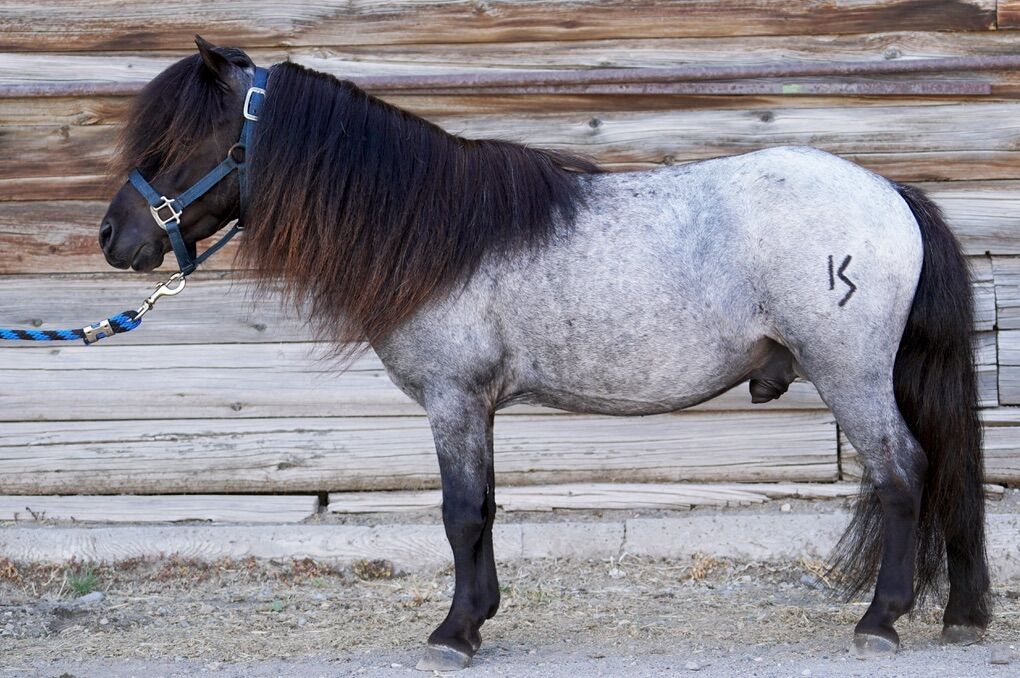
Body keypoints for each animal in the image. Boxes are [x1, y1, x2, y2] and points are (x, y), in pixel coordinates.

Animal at [99, 38, 990, 671]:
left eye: (183, 138)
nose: (113, 237)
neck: (436, 232)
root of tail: (890, 193)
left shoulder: (454, 399)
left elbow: (460, 512)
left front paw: (453, 634)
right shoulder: (477, 406)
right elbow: (487, 508)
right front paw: (478, 619)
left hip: (852, 376)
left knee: (905, 473)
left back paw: (881, 621)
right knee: (945, 470)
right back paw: (961, 616)